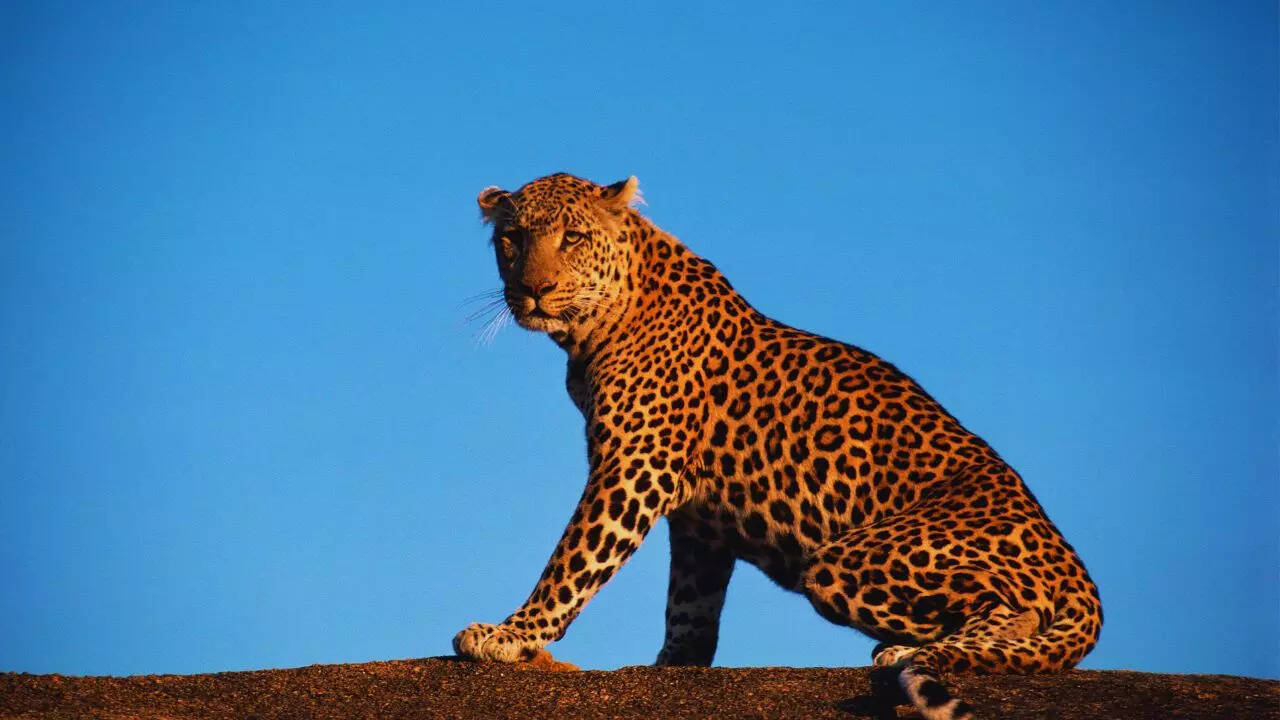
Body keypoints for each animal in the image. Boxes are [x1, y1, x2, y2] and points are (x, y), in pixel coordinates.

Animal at [453, 172, 1102, 719]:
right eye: (510, 239)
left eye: (573, 237)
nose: (533, 290)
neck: (591, 332)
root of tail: (1076, 569)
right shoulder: (697, 522)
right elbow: (689, 607)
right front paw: (670, 667)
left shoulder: (635, 469)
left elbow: (574, 561)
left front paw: (510, 635)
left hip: (847, 560)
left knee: (1018, 610)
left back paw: (905, 653)